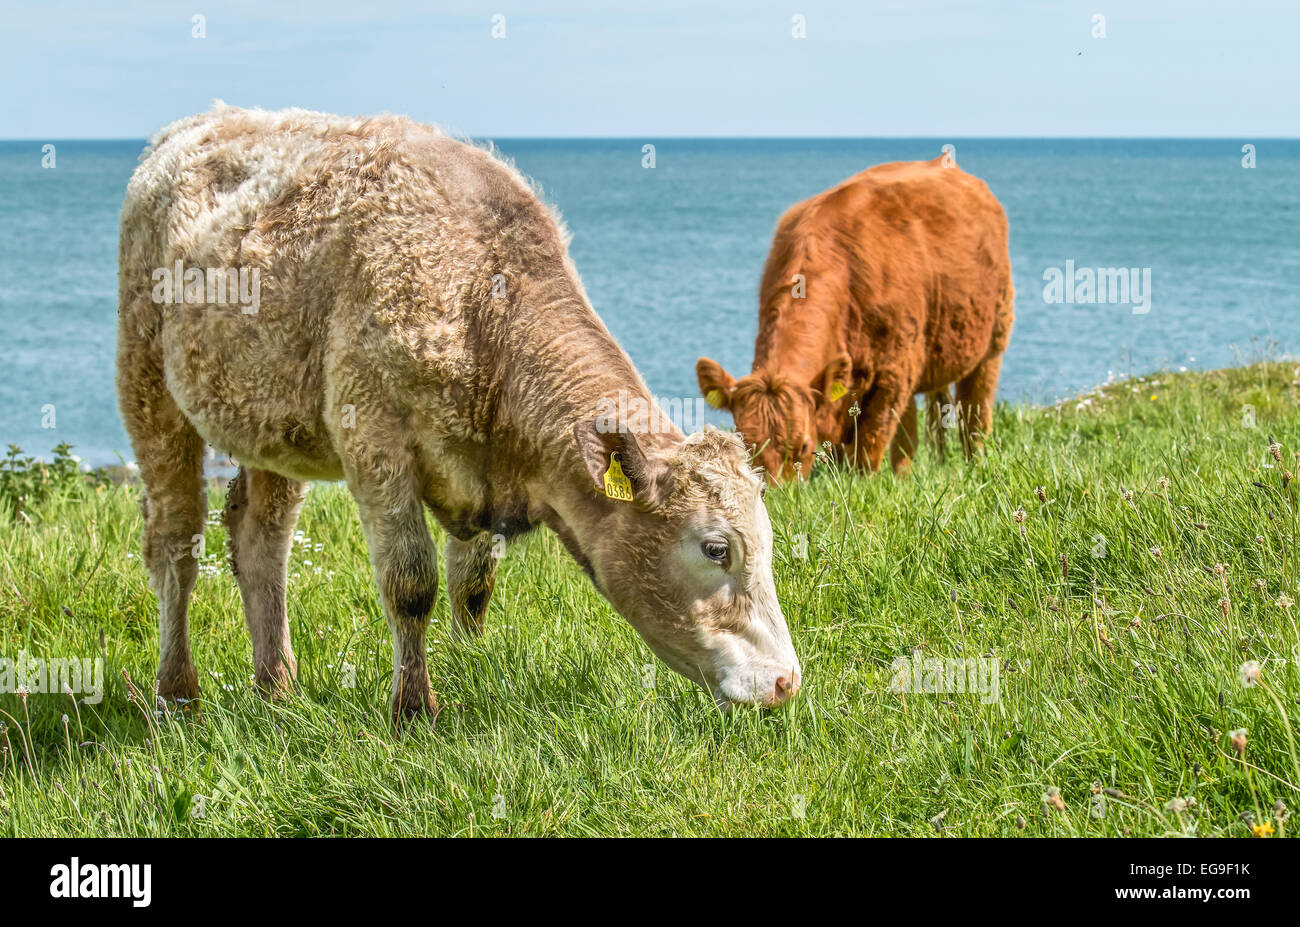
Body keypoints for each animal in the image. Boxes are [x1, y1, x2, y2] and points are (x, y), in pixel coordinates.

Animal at [116, 104, 800, 721]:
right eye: (716, 549)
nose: (786, 681)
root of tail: (198, 123)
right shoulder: (375, 439)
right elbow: (411, 583)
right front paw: (414, 709)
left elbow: (473, 586)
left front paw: (470, 660)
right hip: (147, 382)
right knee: (175, 541)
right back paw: (178, 694)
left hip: (272, 421)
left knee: (262, 537)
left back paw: (277, 688)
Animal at [696, 156, 1015, 483]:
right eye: (745, 447)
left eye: (804, 446)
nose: (774, 490)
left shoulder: (891, 377)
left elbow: (870, 445)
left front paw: (864, 483)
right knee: (914, 431)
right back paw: (906, 474)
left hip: (991, 344)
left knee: (974, 416)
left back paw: (975, 464)